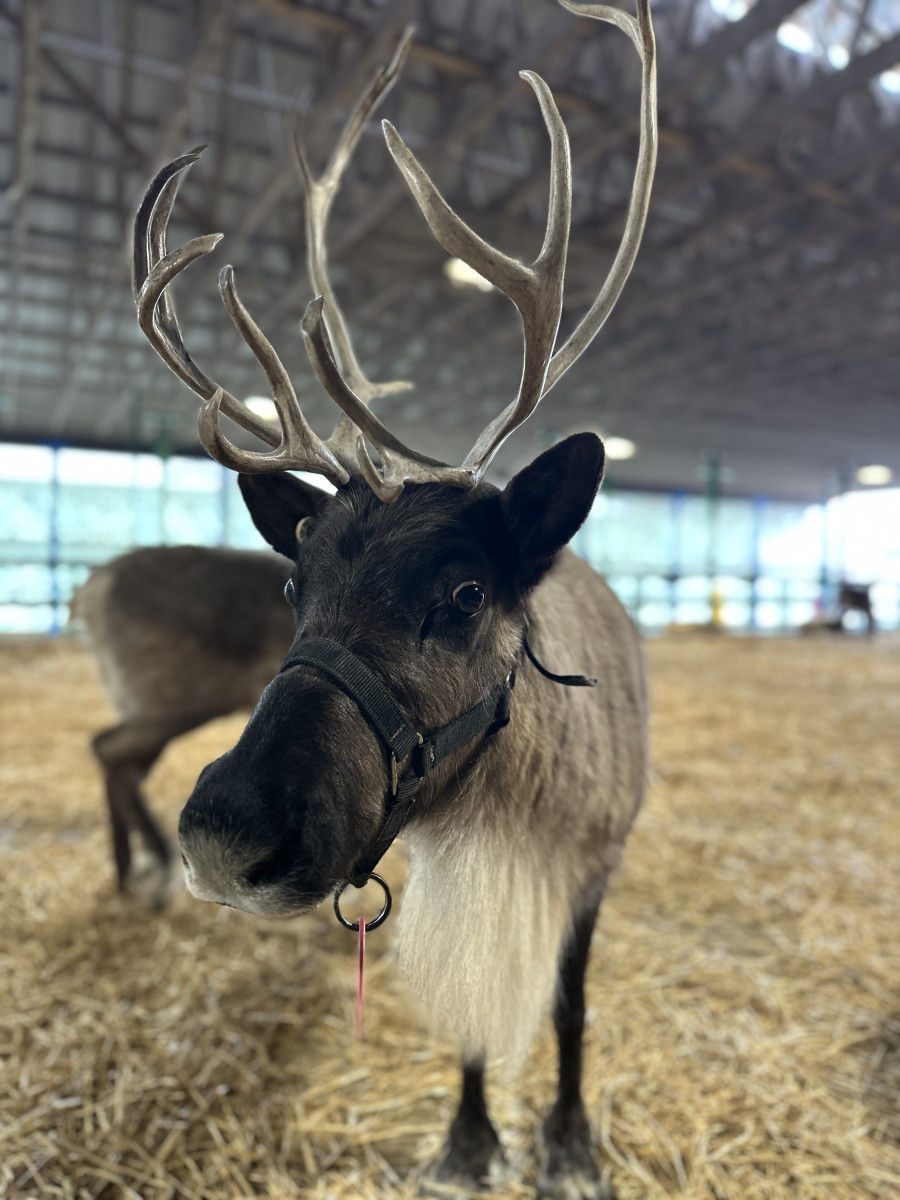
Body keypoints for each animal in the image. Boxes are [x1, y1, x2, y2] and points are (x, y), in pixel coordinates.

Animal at [71, 545, 294, 908]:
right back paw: (155, 869)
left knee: (120, 763)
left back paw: (129, 873)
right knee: (108, 749)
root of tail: (95, 587)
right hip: (176, 705)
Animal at [132, 1, 657, 1194]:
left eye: (465, 590)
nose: (223, 834)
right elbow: (463, 1020)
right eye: (294, 579)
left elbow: (570, 1008)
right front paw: (468, 1142)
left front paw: (566, 1142)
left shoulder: (594, 865)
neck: (505, 813)